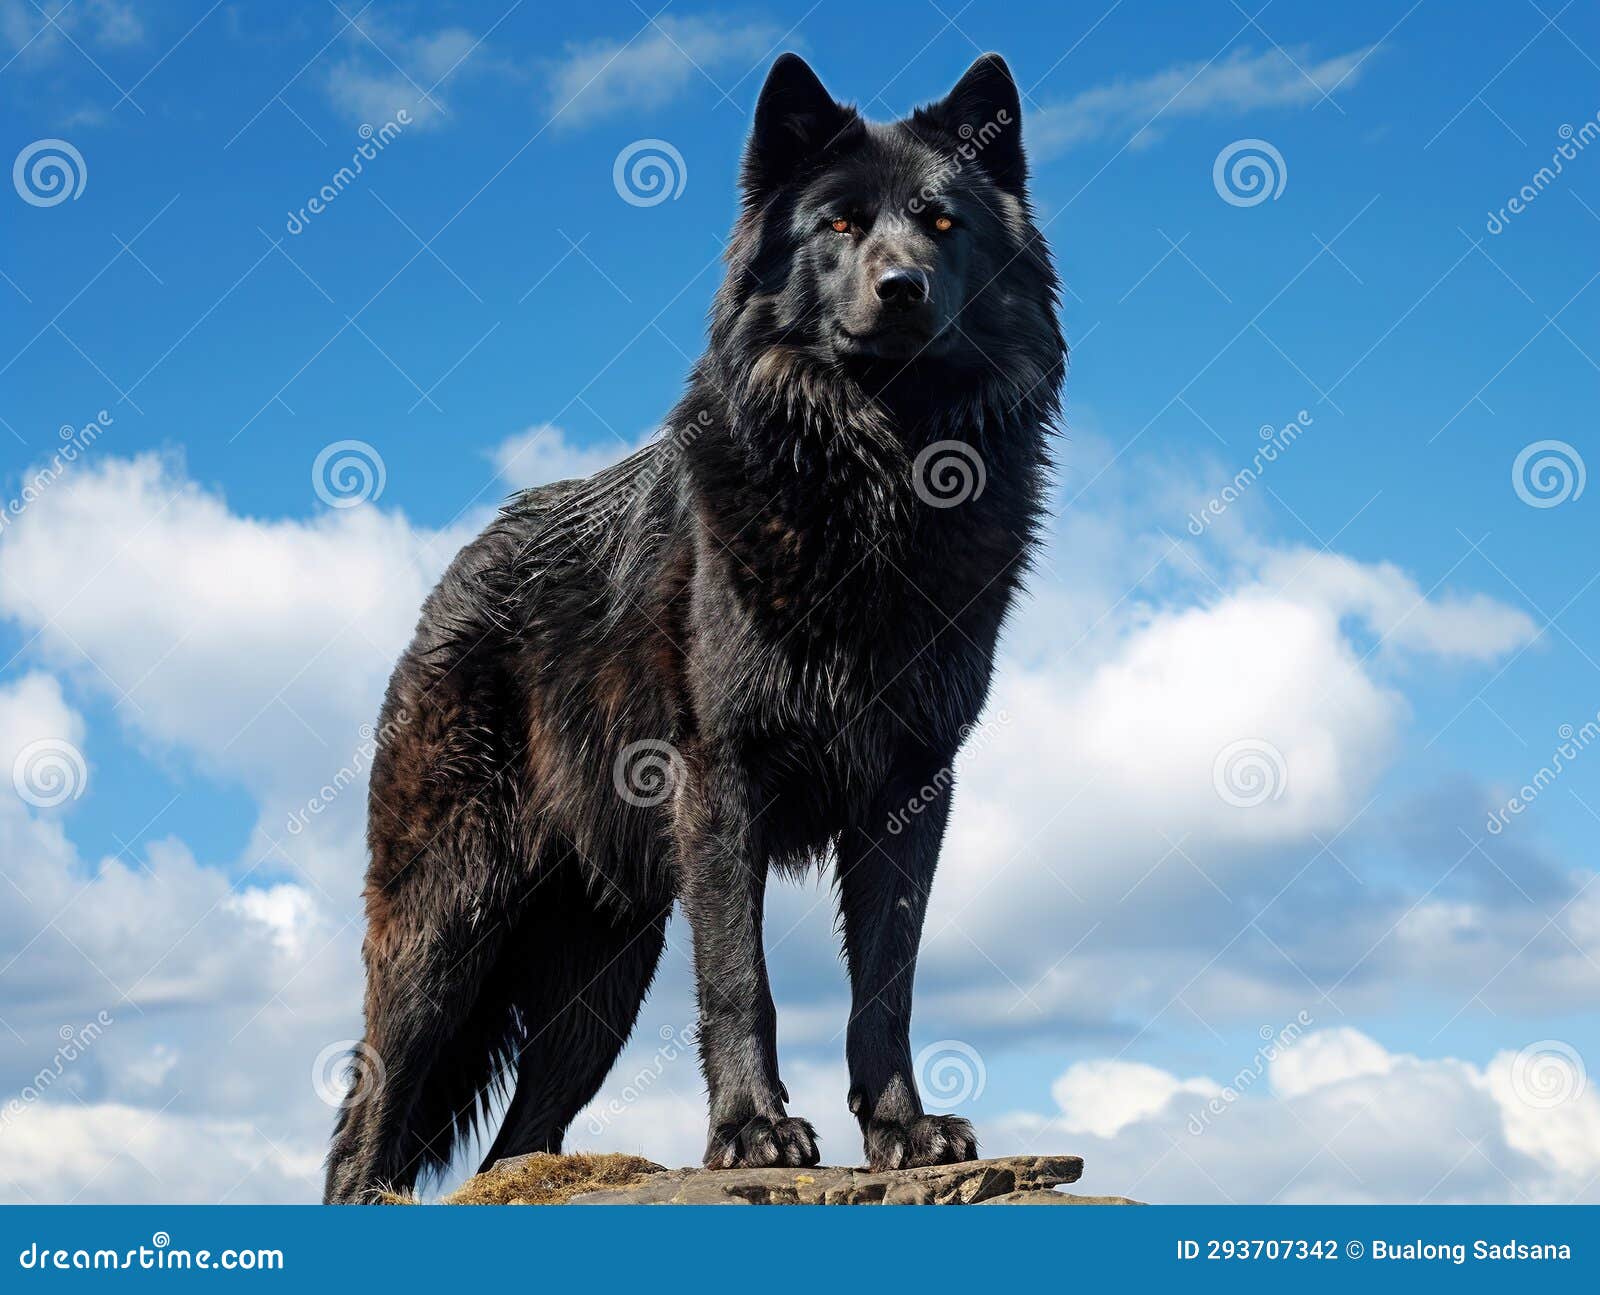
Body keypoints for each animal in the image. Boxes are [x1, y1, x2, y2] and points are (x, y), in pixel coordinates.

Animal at [323, 50, 1065, 1203]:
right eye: (839, 224)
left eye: (941, 225)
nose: (901, 289)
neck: (876, 480)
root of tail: (453, 577)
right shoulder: (725, 781)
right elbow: (739, 978)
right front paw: (754, 1130)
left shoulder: (911, 789)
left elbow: (886, 982)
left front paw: (902, 1130)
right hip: (447, 928)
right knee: (369, 1117)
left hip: (603, 976)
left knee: (517, 1141)